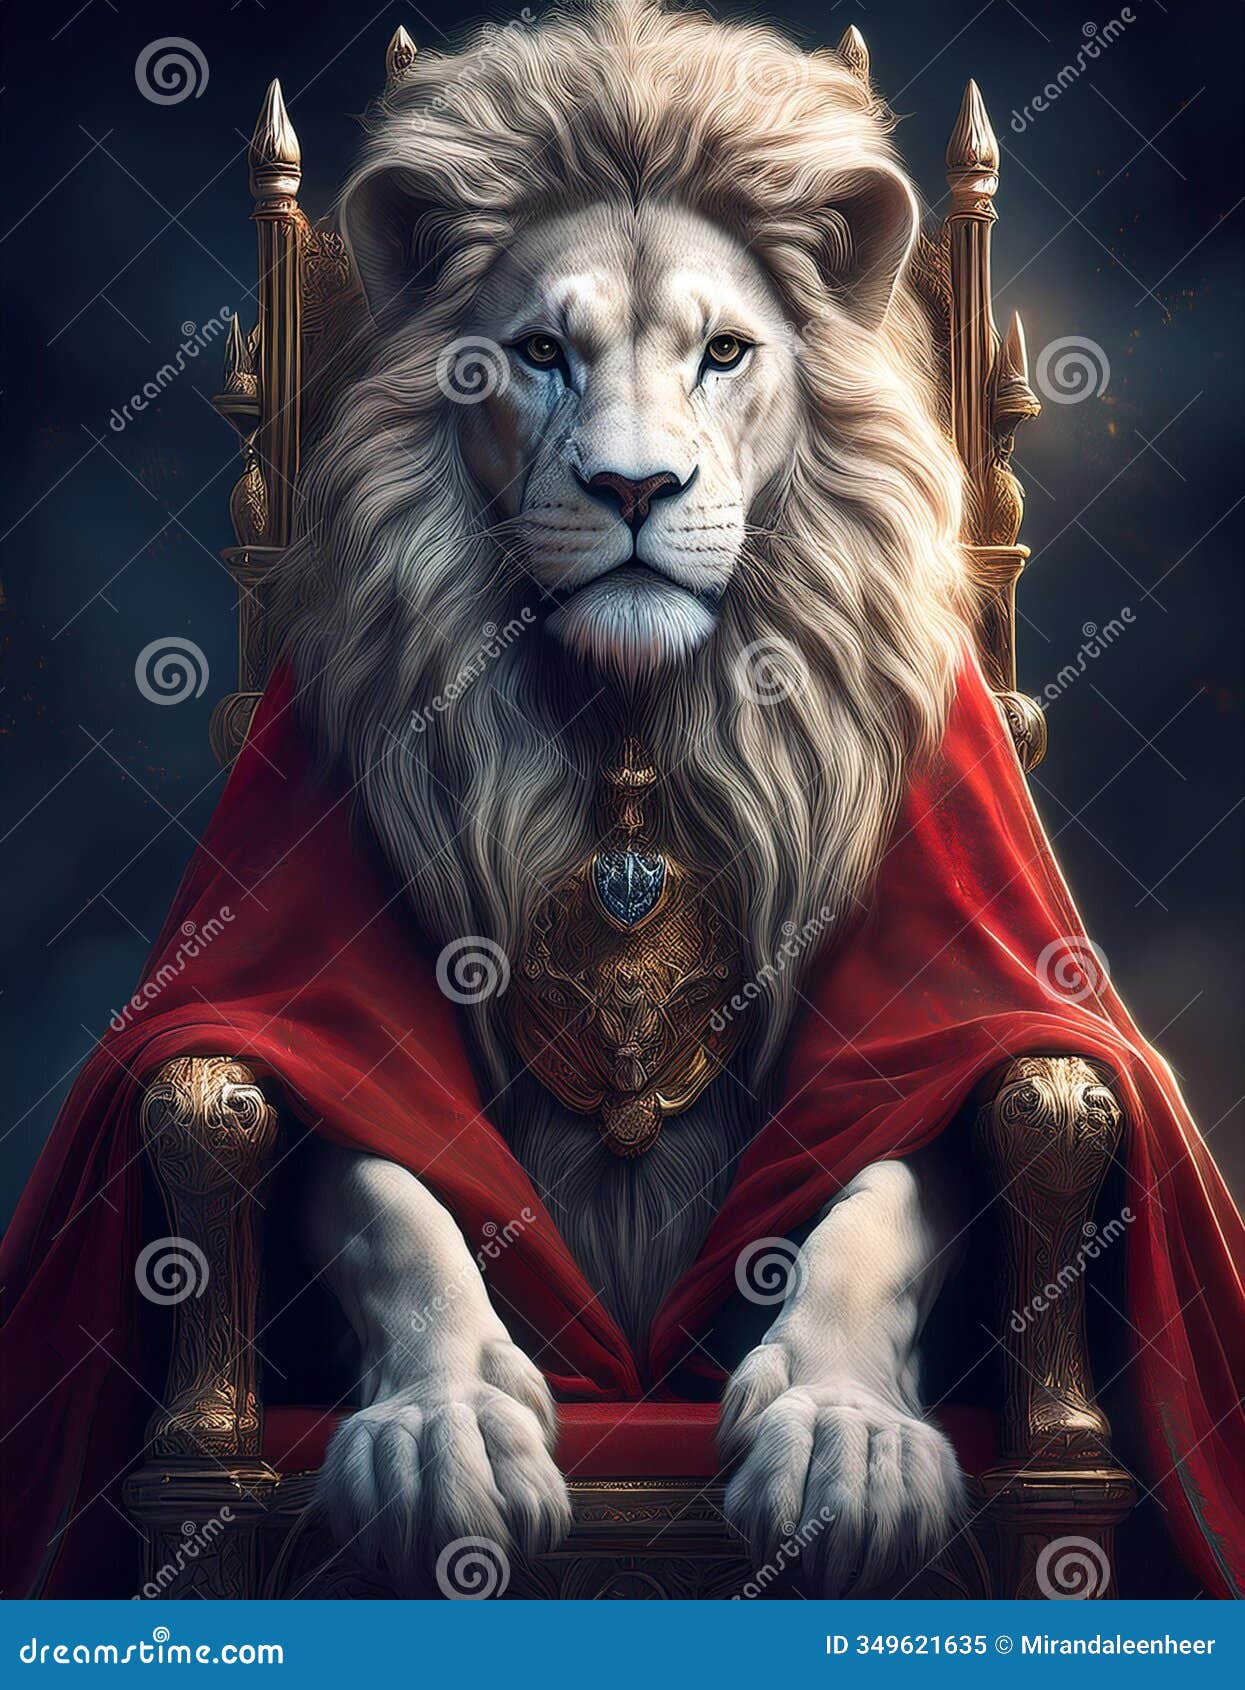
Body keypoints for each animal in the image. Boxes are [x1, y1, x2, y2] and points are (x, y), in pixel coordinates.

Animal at [273, 0, 972, 1596]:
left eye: (724, 351)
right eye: (537, 352)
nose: (635, 488)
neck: (632, 710)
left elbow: (891, 1176)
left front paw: (847, 1437)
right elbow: (385, 1178)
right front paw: (442, 1433)